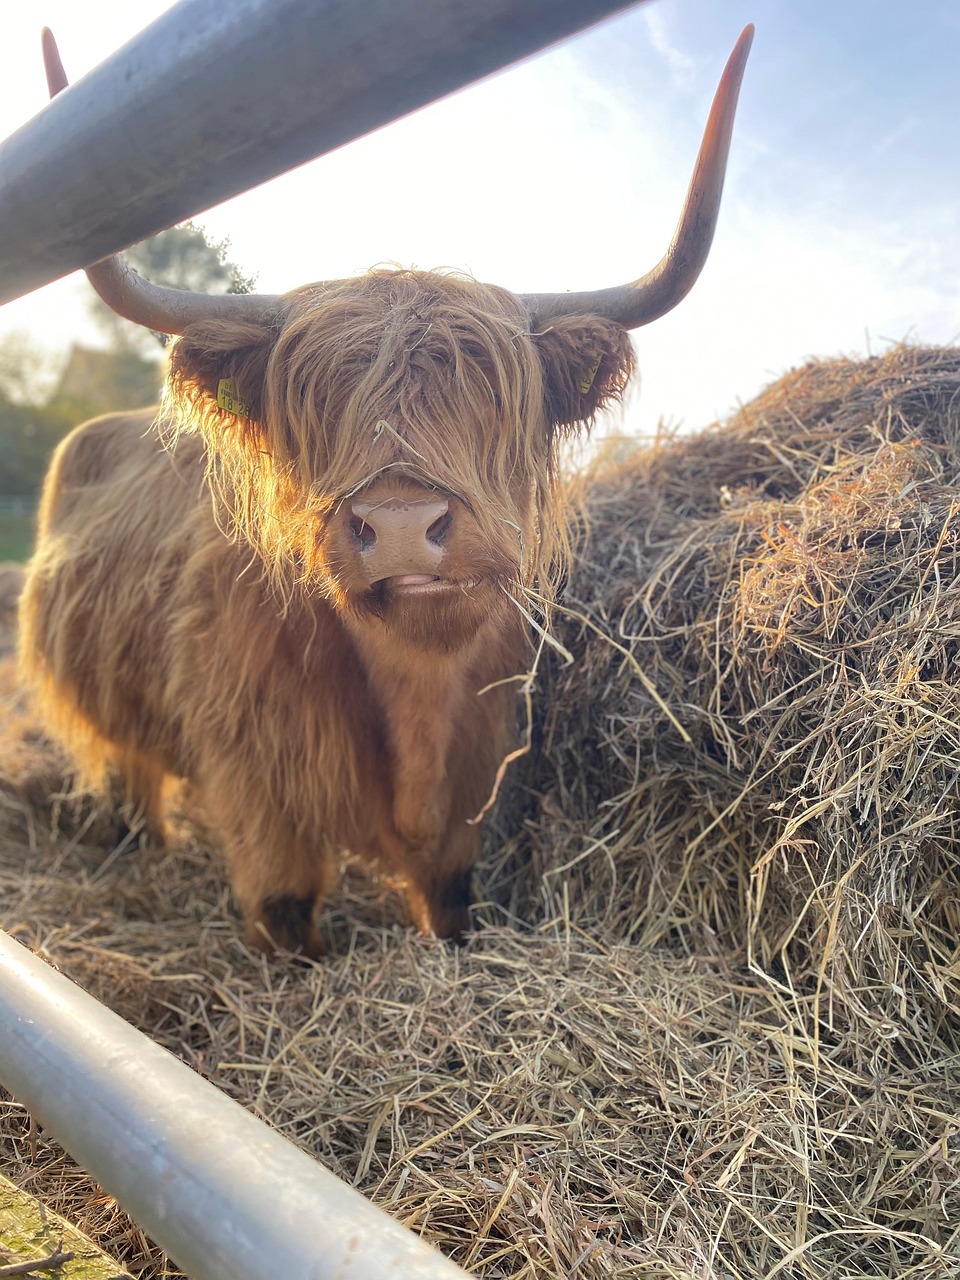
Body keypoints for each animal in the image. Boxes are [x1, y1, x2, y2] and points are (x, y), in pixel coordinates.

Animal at [19, 28, 753, 957]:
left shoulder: (472, 788)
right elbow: (288, 923)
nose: (401, 525)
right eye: (317, 405)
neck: (416, 707)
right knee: (131, 776)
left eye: (491, 398)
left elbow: (452, 905)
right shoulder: (261, 790)